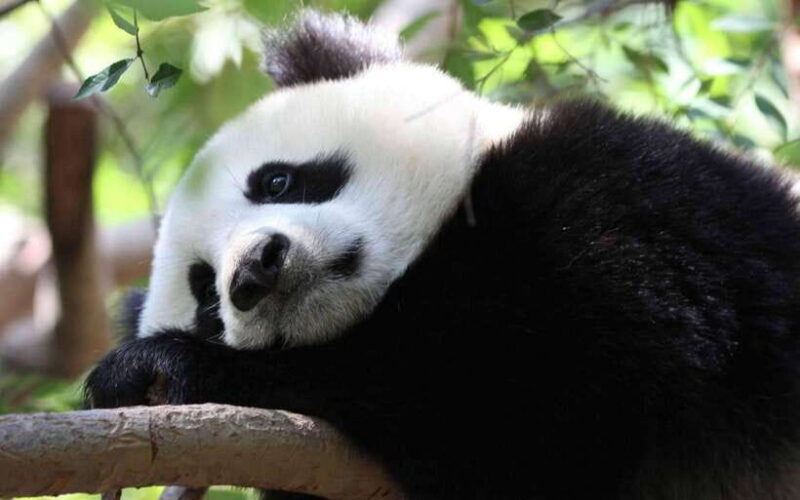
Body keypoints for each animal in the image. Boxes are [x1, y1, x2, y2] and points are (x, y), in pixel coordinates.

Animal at [86, 9, 800, 500]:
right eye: (207, 295)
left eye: (278, 181)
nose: (256, 269)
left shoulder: (624, 206)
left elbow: (521, 404)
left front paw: (158, 367)